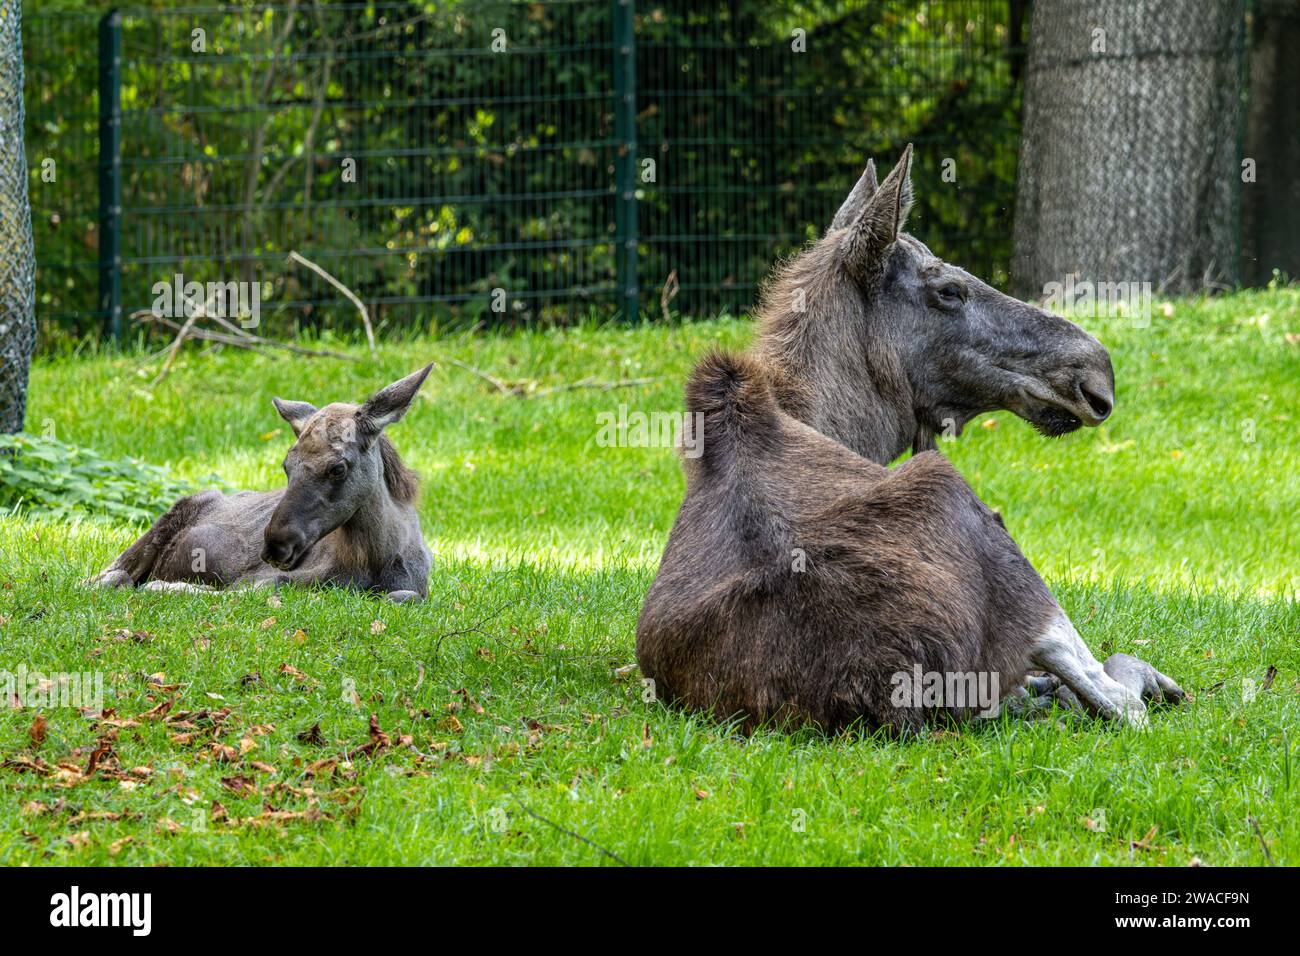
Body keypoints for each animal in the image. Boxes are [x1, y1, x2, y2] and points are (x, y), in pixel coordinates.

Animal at [635, 146, 1184, 734]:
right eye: (948, 289)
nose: (1094, 370)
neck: (832, 424)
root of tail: (890, 678)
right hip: (978, 524)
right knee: (1119, 699)